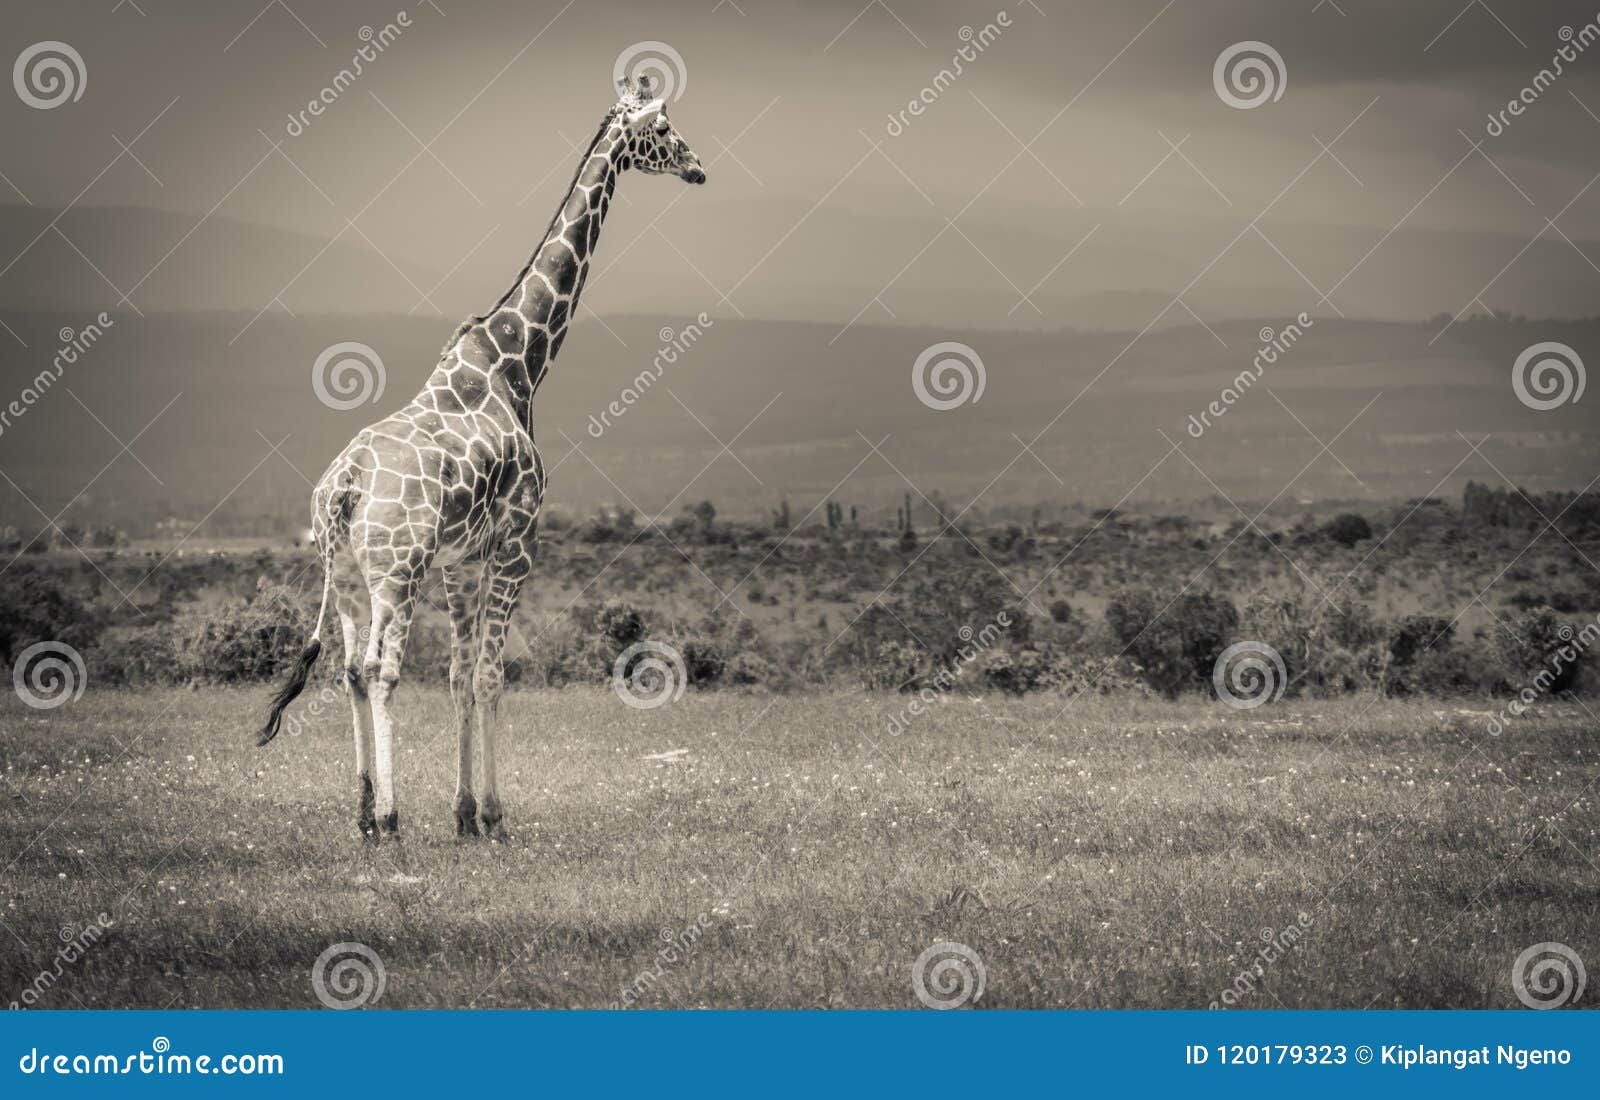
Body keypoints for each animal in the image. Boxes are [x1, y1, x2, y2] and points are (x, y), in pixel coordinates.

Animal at [257, 73, 706, 840]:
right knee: (378, 669)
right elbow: (493, 675)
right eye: (664, 129)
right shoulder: (518, 539)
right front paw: (494, 814)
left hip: (345, 575)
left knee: (347, 669)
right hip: (396, 572)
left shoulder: (463, 558)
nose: (700, 167)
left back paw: (362, 812)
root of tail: (341, 488)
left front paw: (464, 812)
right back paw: (390, 816)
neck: (518, 363)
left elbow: (460, 676)